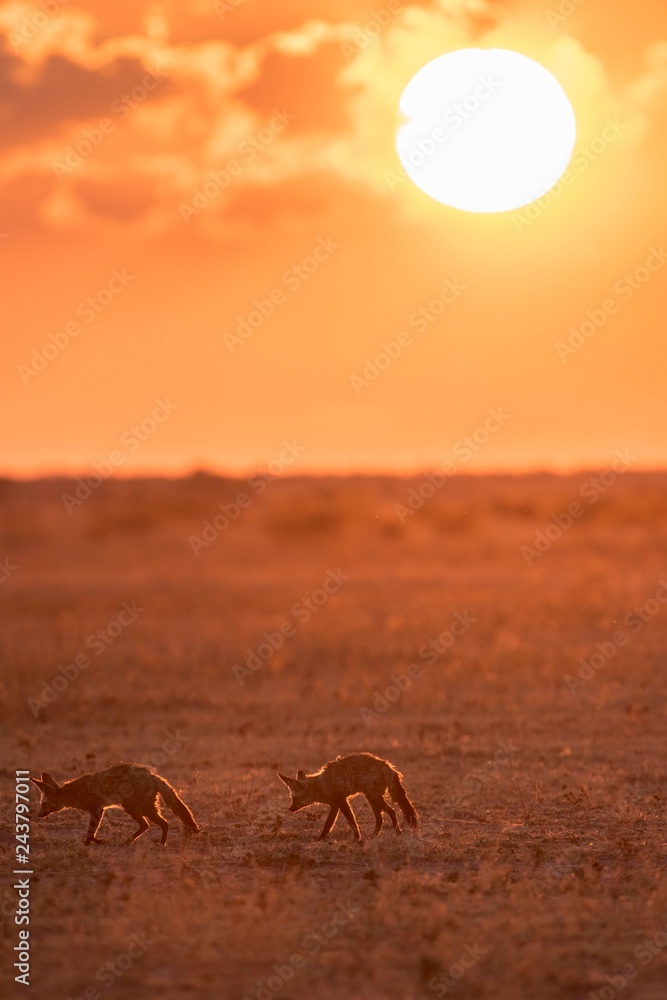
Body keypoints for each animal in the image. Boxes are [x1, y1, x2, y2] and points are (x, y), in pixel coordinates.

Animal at [30, 763, 199, 846]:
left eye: (43, 805)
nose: (38, 815)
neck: (75, 792)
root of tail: (152, 775)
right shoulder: (97, 811)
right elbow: (90, 833)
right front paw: (93, 843)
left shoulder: (97, 810)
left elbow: (90, 833)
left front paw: (92, 843)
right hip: (144, 809)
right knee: (161, 824)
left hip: (134, 809)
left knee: (153, 825)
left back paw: (148, 843)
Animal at [278, 752, 418, 841]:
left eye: (294, 799)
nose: (290, 809)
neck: (320, 785)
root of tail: (387, 766)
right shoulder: (335, 805)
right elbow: (329, 824)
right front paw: (322, 837)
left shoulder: (341, 801)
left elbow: (351, 821)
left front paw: (357, 837)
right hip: (373, 799)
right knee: (380, 819)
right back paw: (374, 836)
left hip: (374, 798)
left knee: (392, 811)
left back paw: (397, 832)